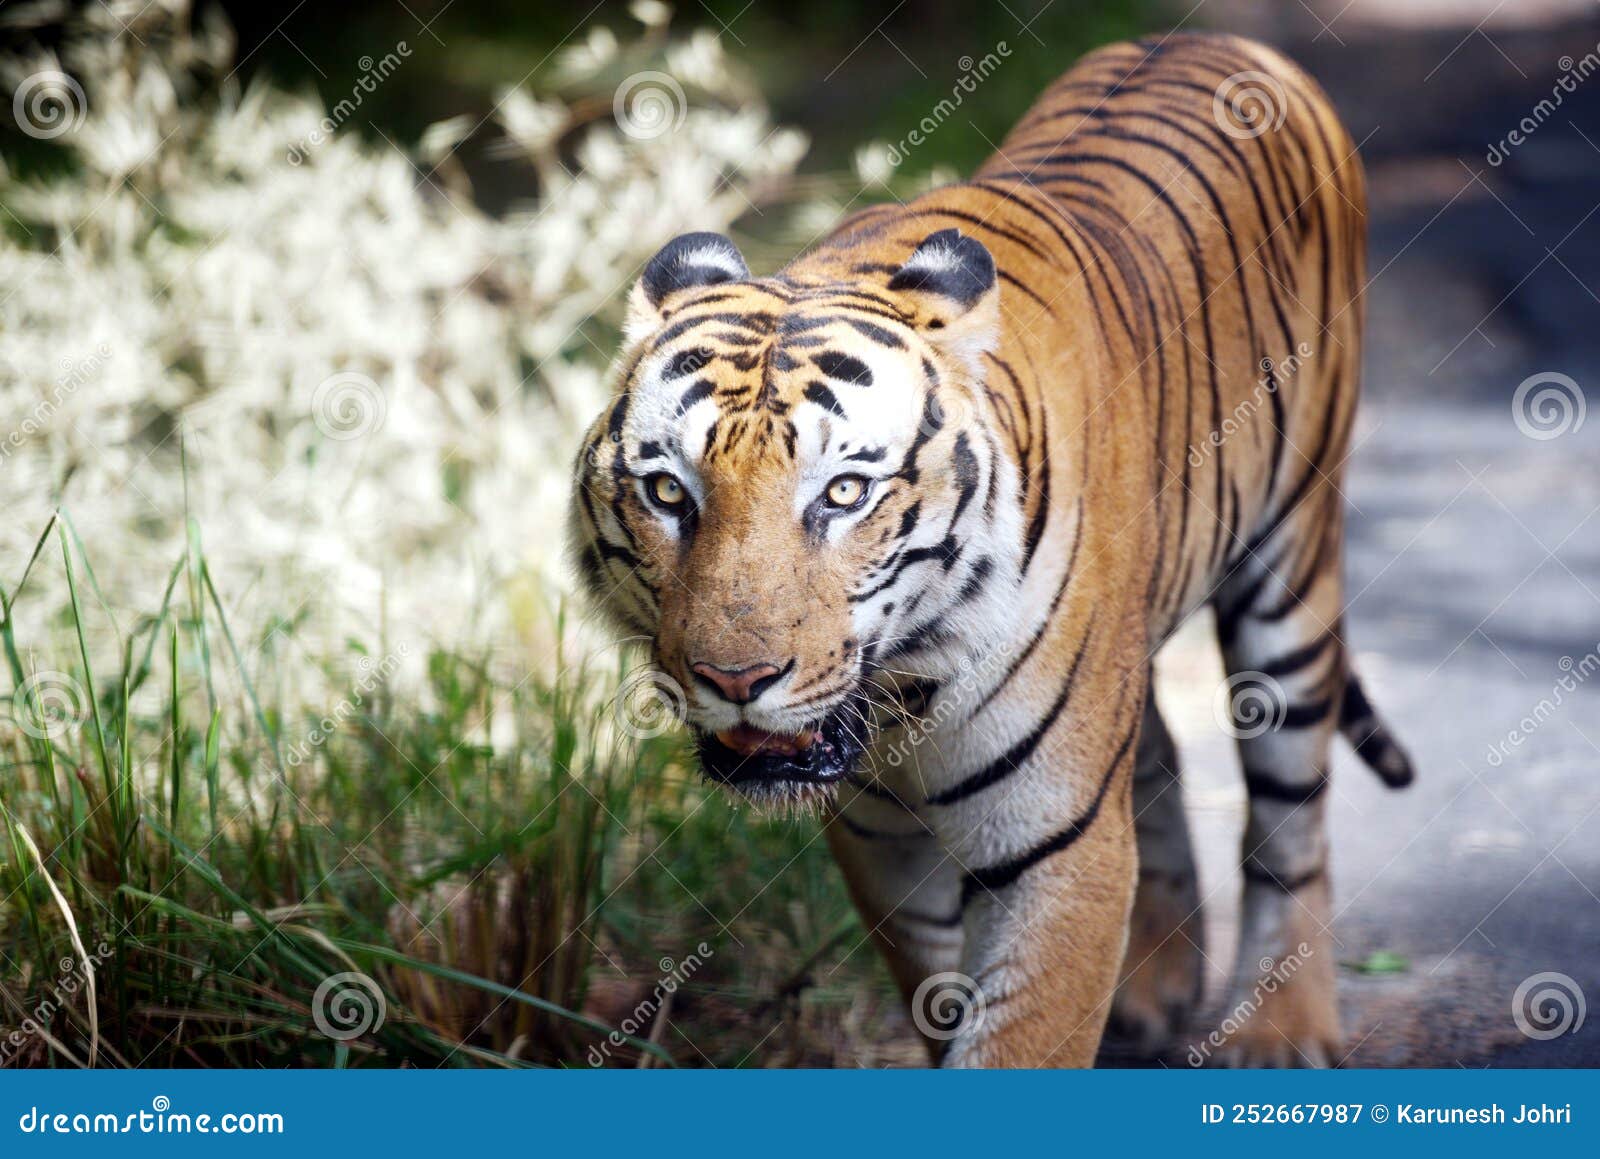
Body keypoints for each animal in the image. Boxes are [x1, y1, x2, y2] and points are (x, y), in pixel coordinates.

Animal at [569, 31, 1414, 1067]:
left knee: (1293, 813)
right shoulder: (881, 848)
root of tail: (1222, 37)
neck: (905, 692)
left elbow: (1020, 1035)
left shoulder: (1057, 845)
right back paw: (1154, 987)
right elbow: (941, 1000)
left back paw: (1281, 1031)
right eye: (668, 493)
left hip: (1292, 568)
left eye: (843, 492)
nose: (735, 679)